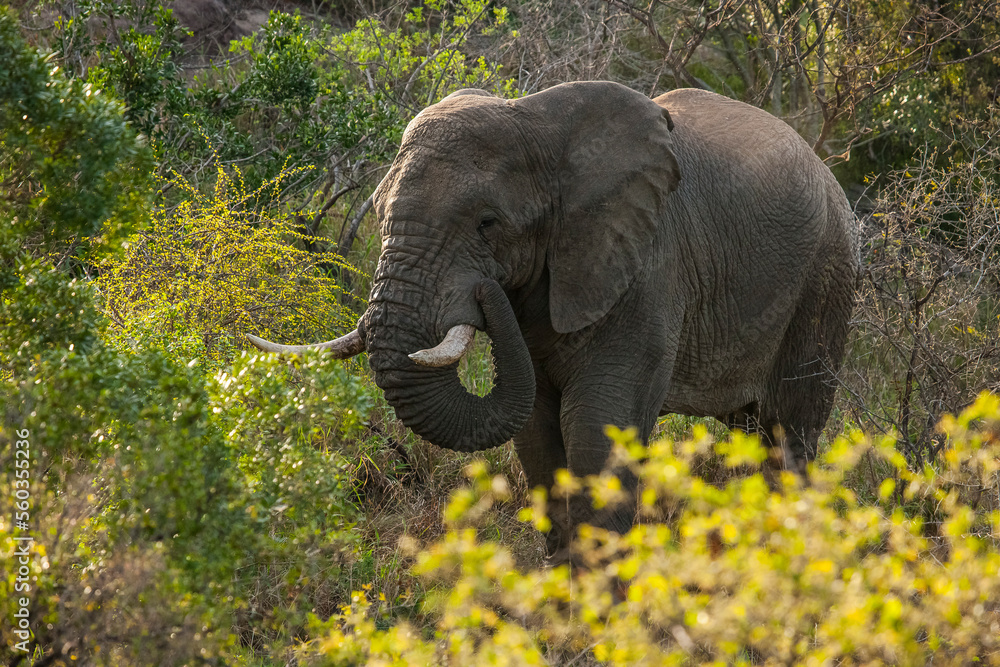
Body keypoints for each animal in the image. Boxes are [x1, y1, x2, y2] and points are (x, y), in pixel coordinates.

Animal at [248, 81, 859, 562]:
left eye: (487, 223)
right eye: (376, 210)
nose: (485, 291)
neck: (536, 123)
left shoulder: (647, 271)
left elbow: (596, 430)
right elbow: (538, 437)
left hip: (826, 278)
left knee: (790, 432)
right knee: (754, 433)